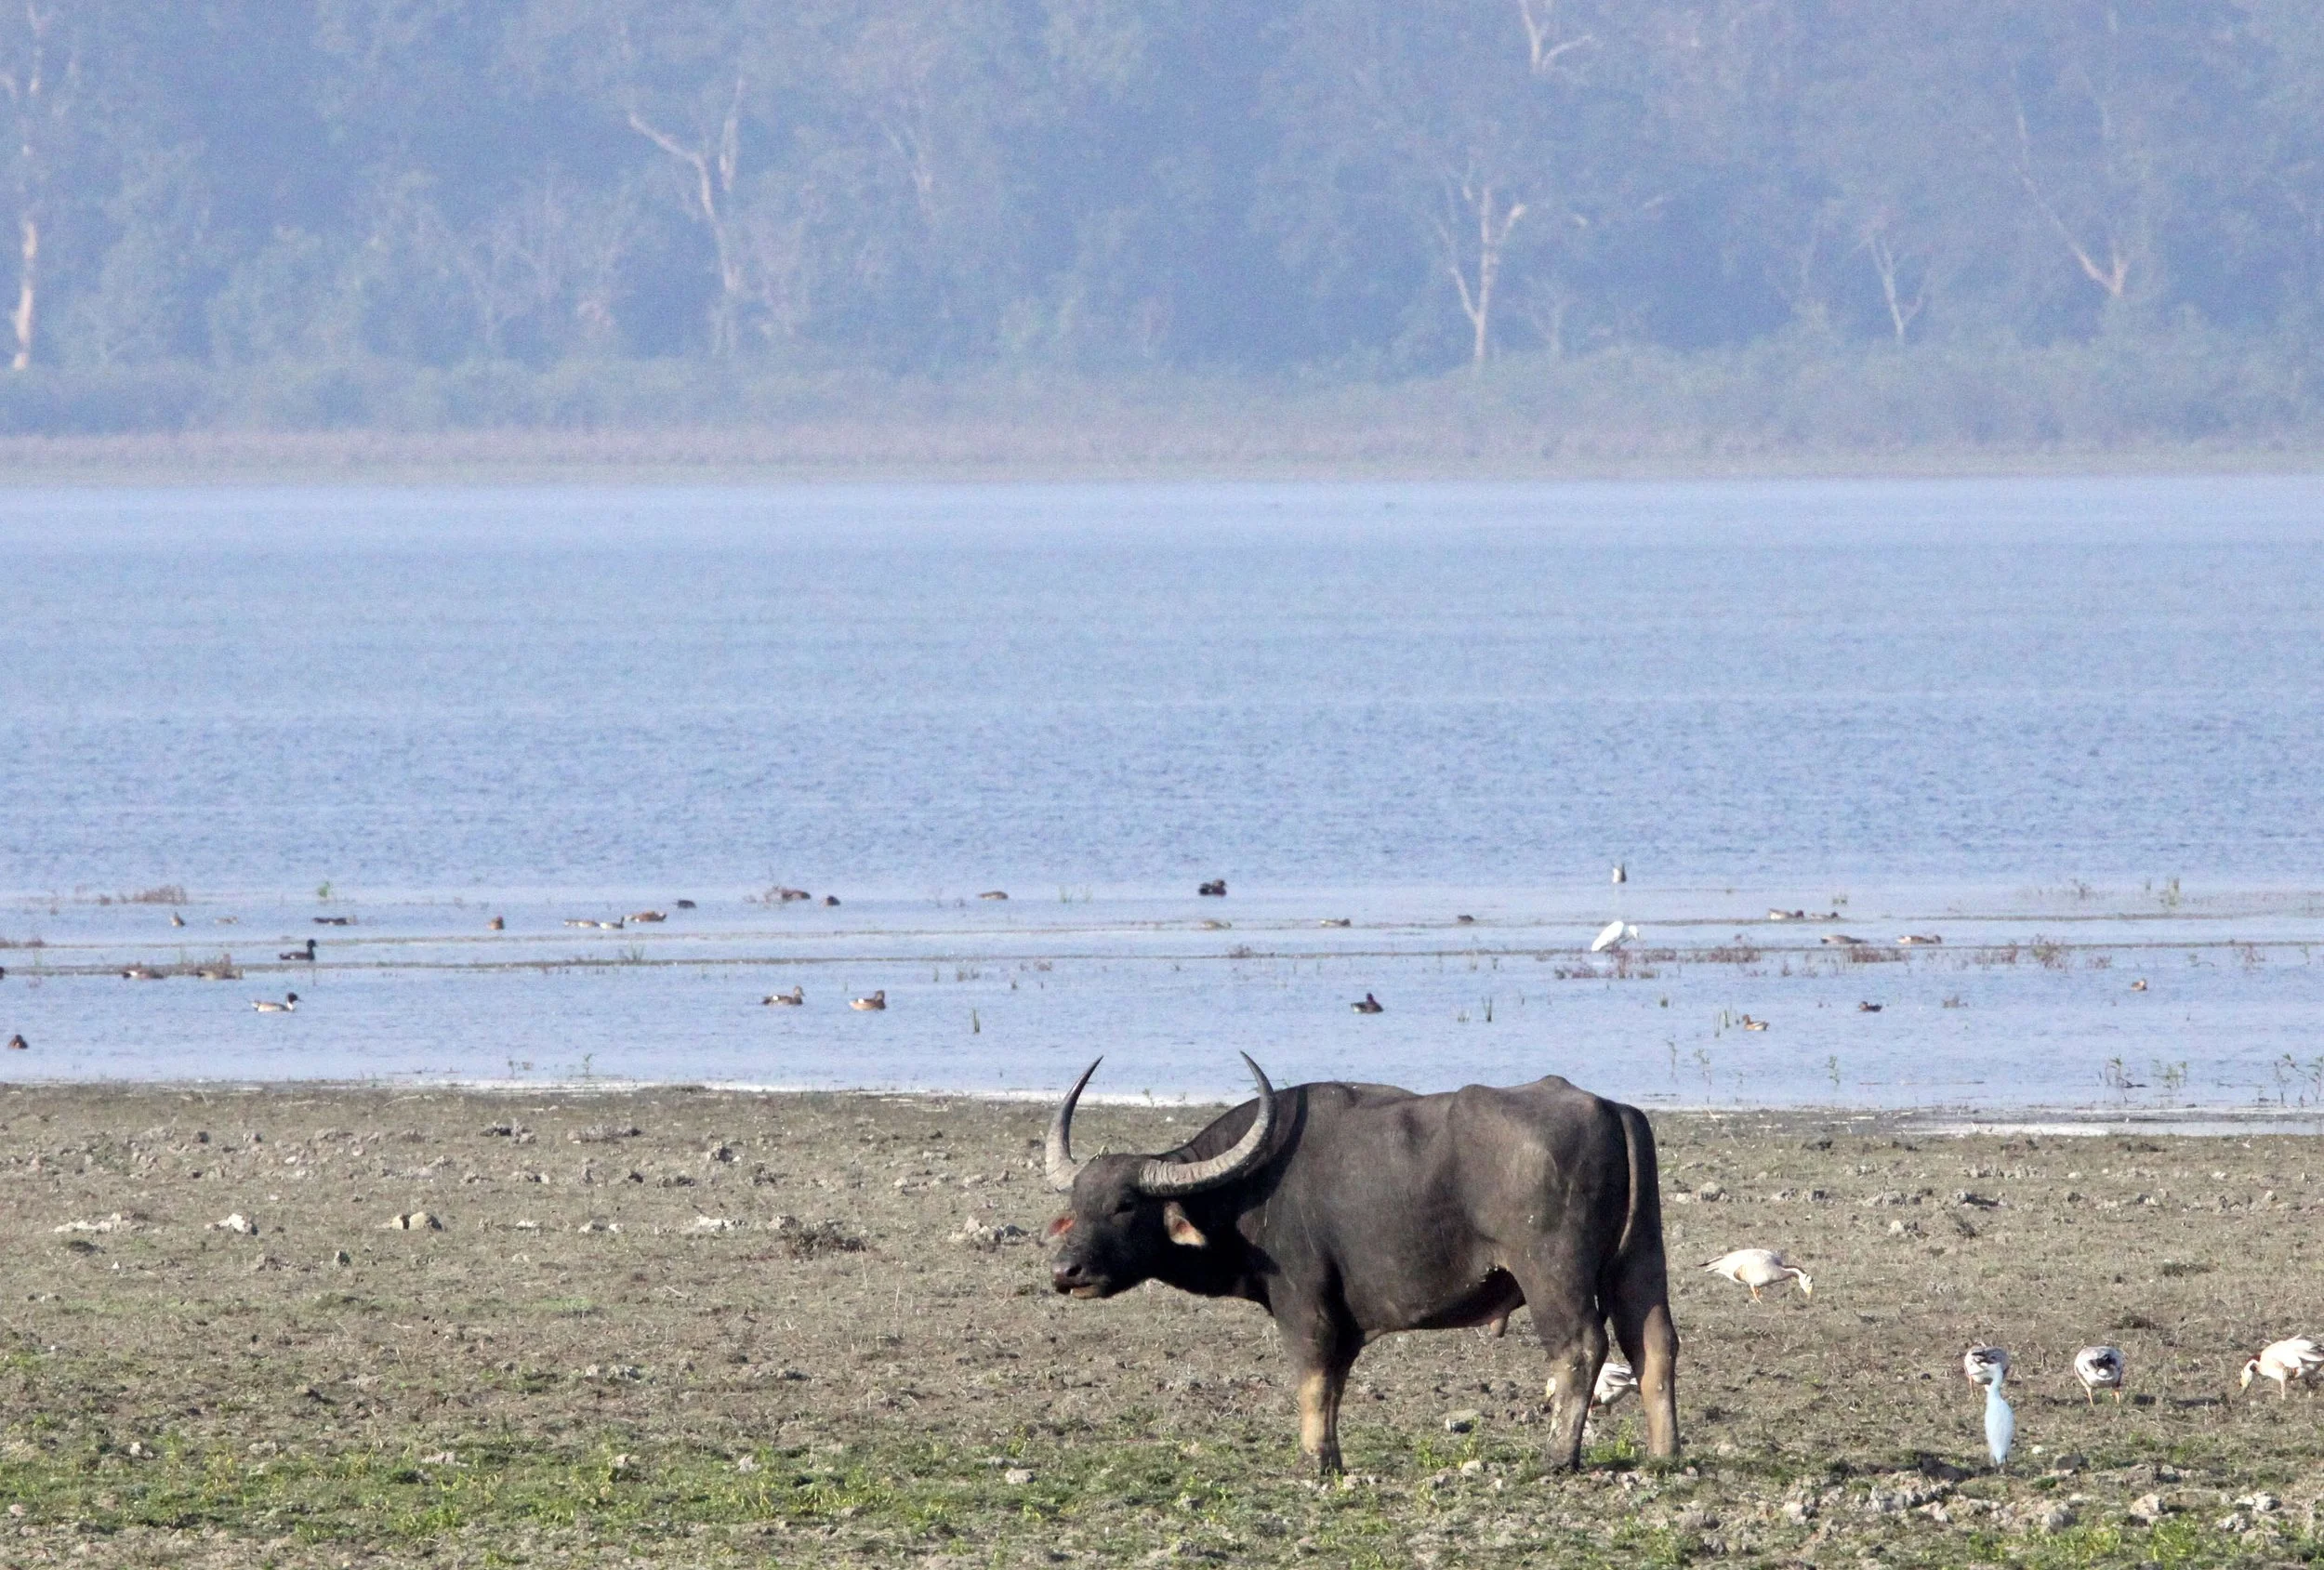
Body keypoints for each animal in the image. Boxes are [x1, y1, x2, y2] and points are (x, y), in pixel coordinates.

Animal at [1043, 1056, 1679, 1473]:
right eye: (1077, 1204)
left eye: (1126, 1206)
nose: (1065, 1273)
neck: (1249, 1191)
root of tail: (1610, 1108)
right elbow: (1334, 1384)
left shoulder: (1303, 1302)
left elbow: (1312, 1377)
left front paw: (1315, 1462)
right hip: (1639, 1260)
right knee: (1653, 1344)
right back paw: (1664, 1452)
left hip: (1551, 1273)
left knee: (1580, 1347)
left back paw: (1556, 1457)